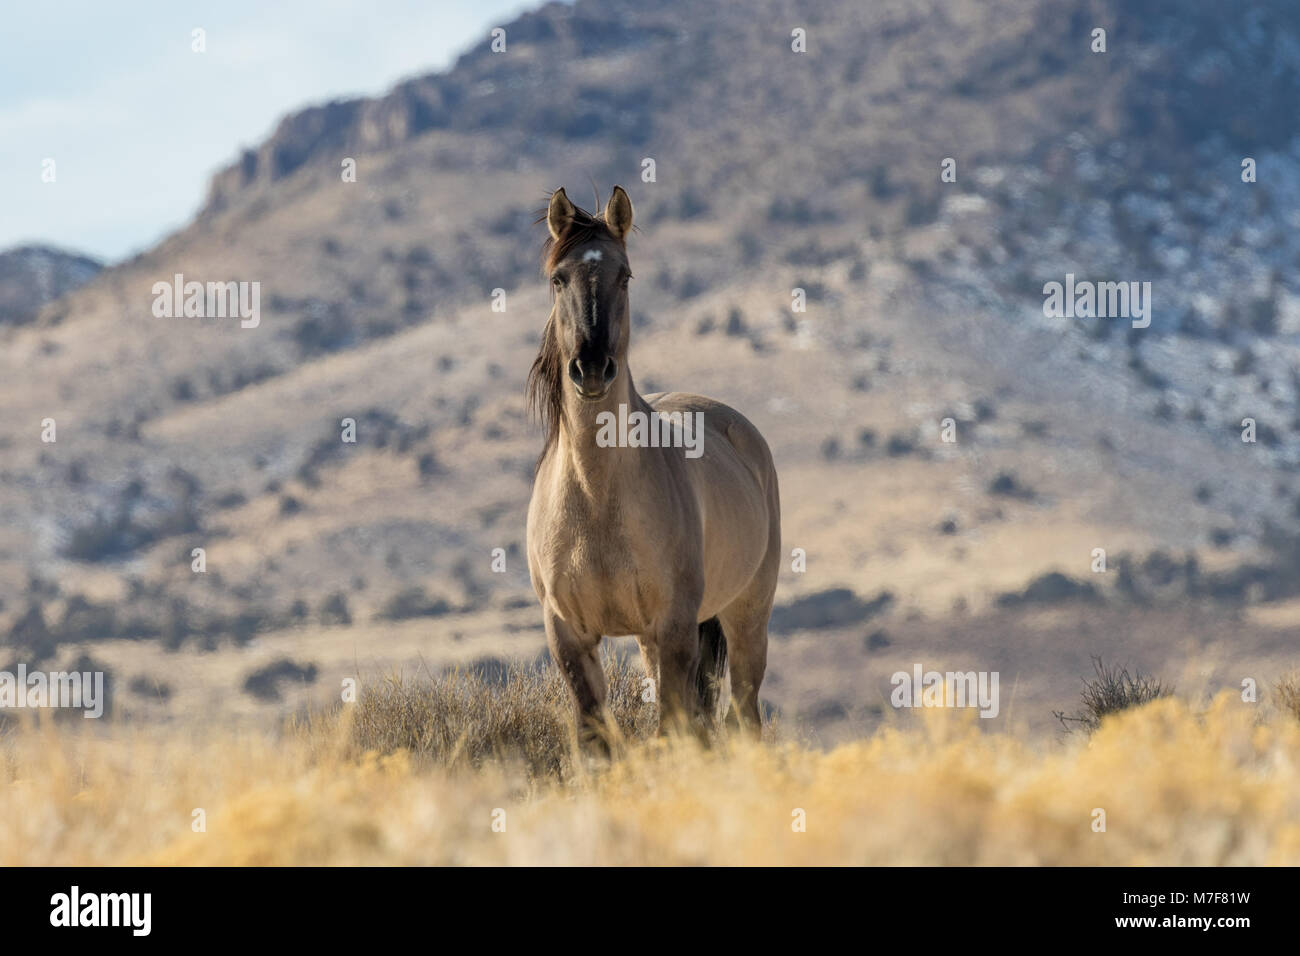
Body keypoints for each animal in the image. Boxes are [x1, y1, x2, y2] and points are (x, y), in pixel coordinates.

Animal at [525, 185, 781, 747]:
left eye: (624, 275)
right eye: (558, 279)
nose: (591, 368)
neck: (596, 498)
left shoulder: (675, 626)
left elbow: (672, 729)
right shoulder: (569, 635)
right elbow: (597, 739)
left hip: (746, 615)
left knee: (742, 714)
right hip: (650, 641)